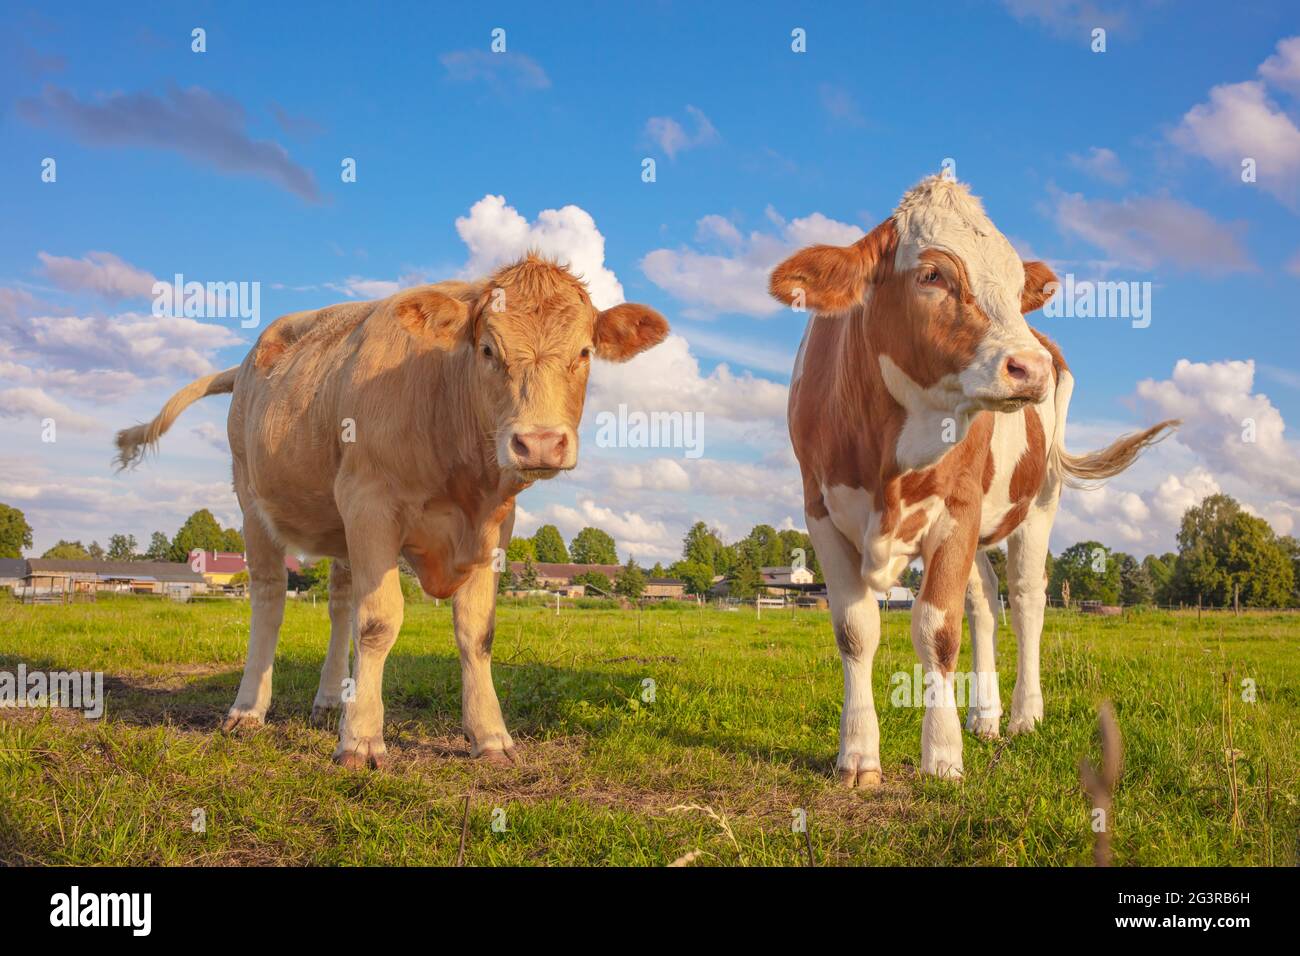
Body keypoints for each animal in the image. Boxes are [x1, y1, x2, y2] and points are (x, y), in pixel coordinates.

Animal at [115, 255, 668, 768]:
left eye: (584, 352)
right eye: (488, 349)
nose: (539, 443)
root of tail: (251, 359)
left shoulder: (495, 526)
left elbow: (477, 632)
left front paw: (490, 736)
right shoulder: (371, 503)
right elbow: (378, 622)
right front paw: (360, 739)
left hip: (338, 525)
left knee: (339, 603)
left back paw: (328, 702)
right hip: (254, 503)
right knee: (270, 599)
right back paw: (248, 710)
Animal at [770, 176, 1175, 784]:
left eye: (1014, 281)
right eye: (932, 275)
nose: (1028, 369)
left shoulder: (956, 509)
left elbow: (937, 630)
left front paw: (942, 754)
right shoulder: (819, 511)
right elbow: (856, 631)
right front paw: (858, 755)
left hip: (1038, 505)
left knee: (1028, 601)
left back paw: (1024, 716)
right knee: (986, 603)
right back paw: (985, 716)